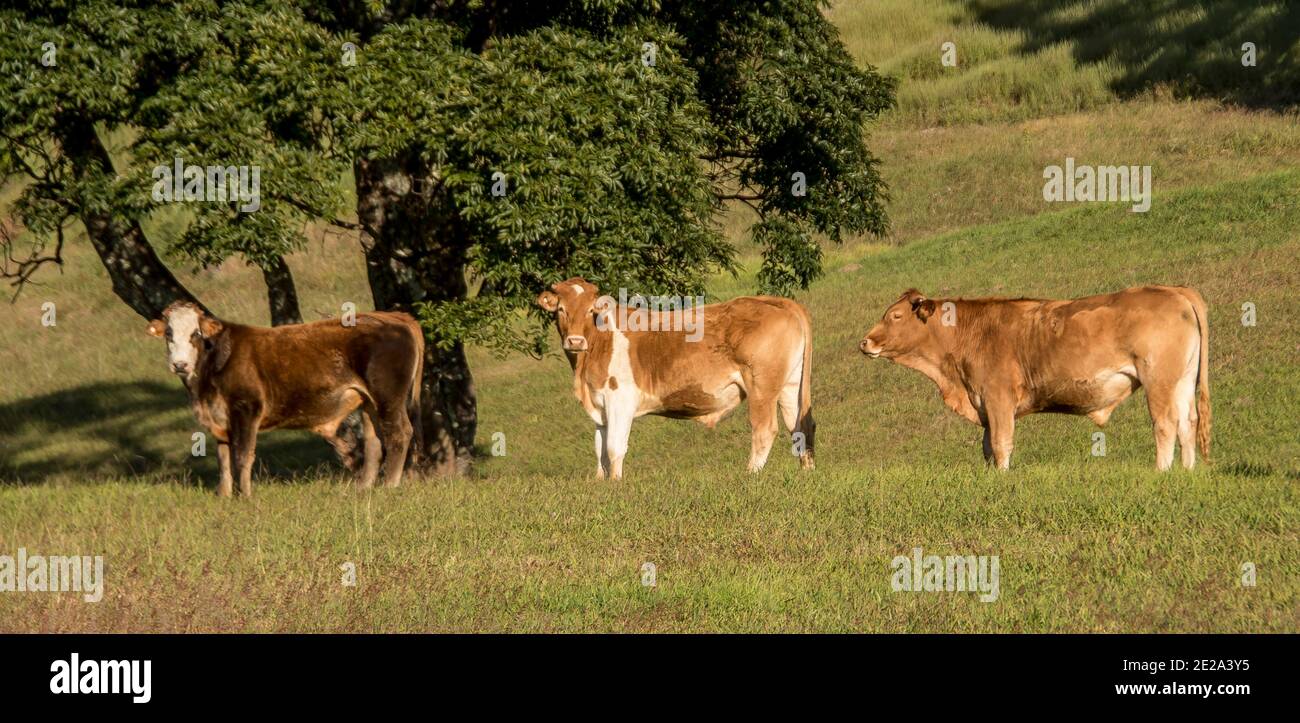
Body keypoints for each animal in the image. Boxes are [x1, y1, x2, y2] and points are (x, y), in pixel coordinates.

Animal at [146, 301, 424, 496]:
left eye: (196, 333)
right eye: (169, 333)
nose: (179, 364)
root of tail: (393, 317)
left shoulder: (246, 408)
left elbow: (242, 454)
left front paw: (245, 496)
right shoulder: (219, 418)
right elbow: (223, 459)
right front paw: (224, 495)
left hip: (389, 397)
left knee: (399, 433)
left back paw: (390, 486)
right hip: (369, 402)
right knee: (374, 441)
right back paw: (364, 488)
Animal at [536, 278, 816, 479]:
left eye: (590, 311)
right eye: (561, 309)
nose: (575, 341)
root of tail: (777, 301)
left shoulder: (620, 399)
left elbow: (614, 448)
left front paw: (616, 484)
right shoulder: (600, 405)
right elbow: (600, 451)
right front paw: (601, 483)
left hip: (762, 386)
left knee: (765, 429)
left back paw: (751, 474)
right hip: (790, 385)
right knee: (800, 425)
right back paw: (806, 471)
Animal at [858, 286, 1210, 470]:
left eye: (895, 316)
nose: (865, 341)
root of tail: (1173, 290)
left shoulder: (998, 397)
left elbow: (1001, 443)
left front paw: (1002, 475)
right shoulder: (986, 403)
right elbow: (987, 446)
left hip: (1159, 380)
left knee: (1165, 425)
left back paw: (1162, 471)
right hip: (1182, 381)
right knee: (1188, 423)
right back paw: (1187, 470)